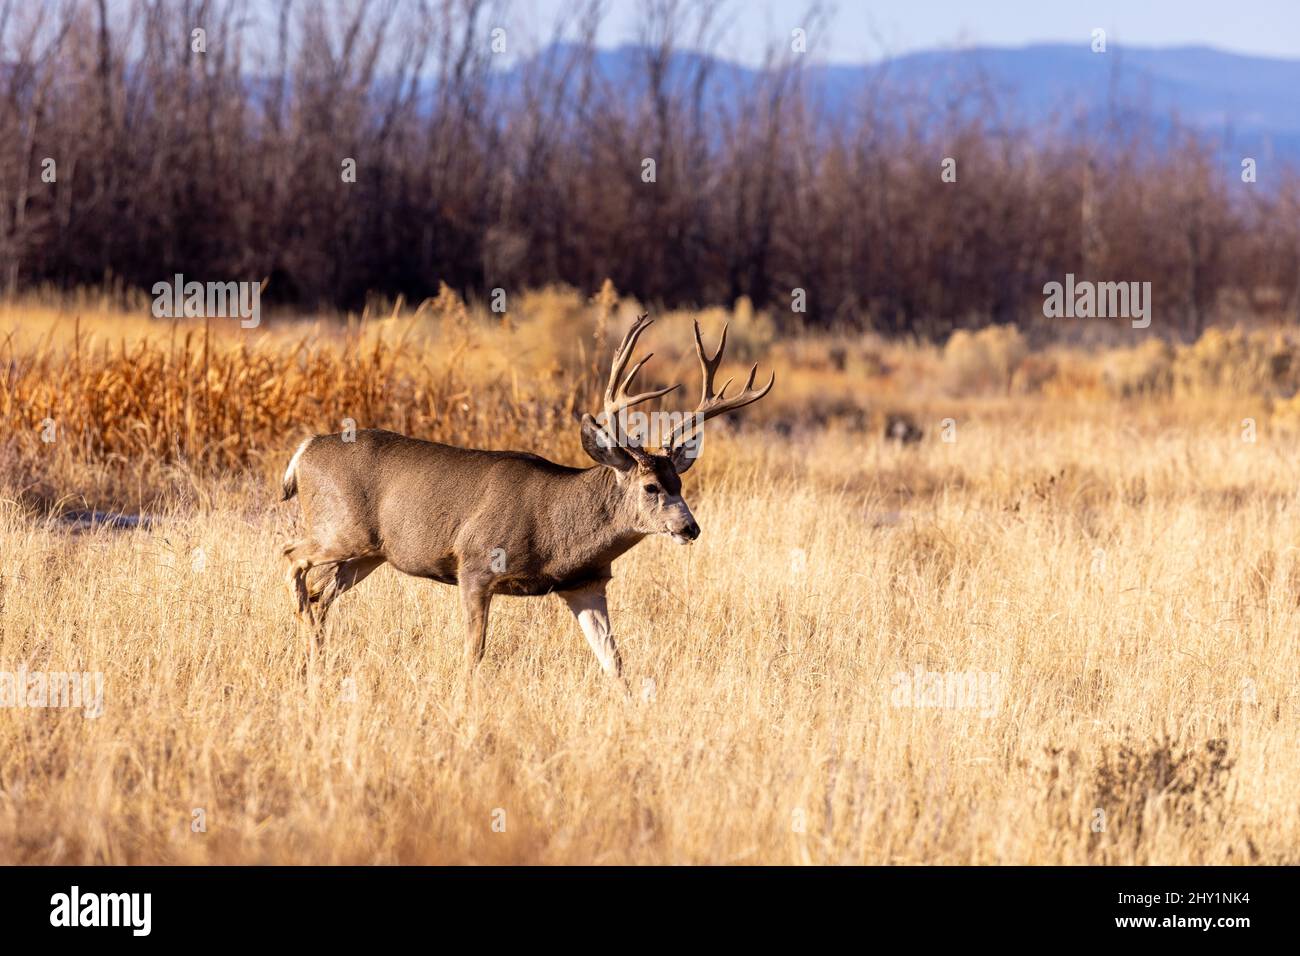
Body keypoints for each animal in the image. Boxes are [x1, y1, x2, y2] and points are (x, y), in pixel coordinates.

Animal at [280, 314, 773, 688]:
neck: (558, 528)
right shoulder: (475, 564)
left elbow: (615, 662)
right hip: (341, 530)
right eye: (651, 486)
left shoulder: (585, 583)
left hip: (368, 553)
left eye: (681, 484)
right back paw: (303, 631)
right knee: (292, 556)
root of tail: (304, 451)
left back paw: (312, 660)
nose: (689, 527)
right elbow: (474, 652)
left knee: (321, 594)